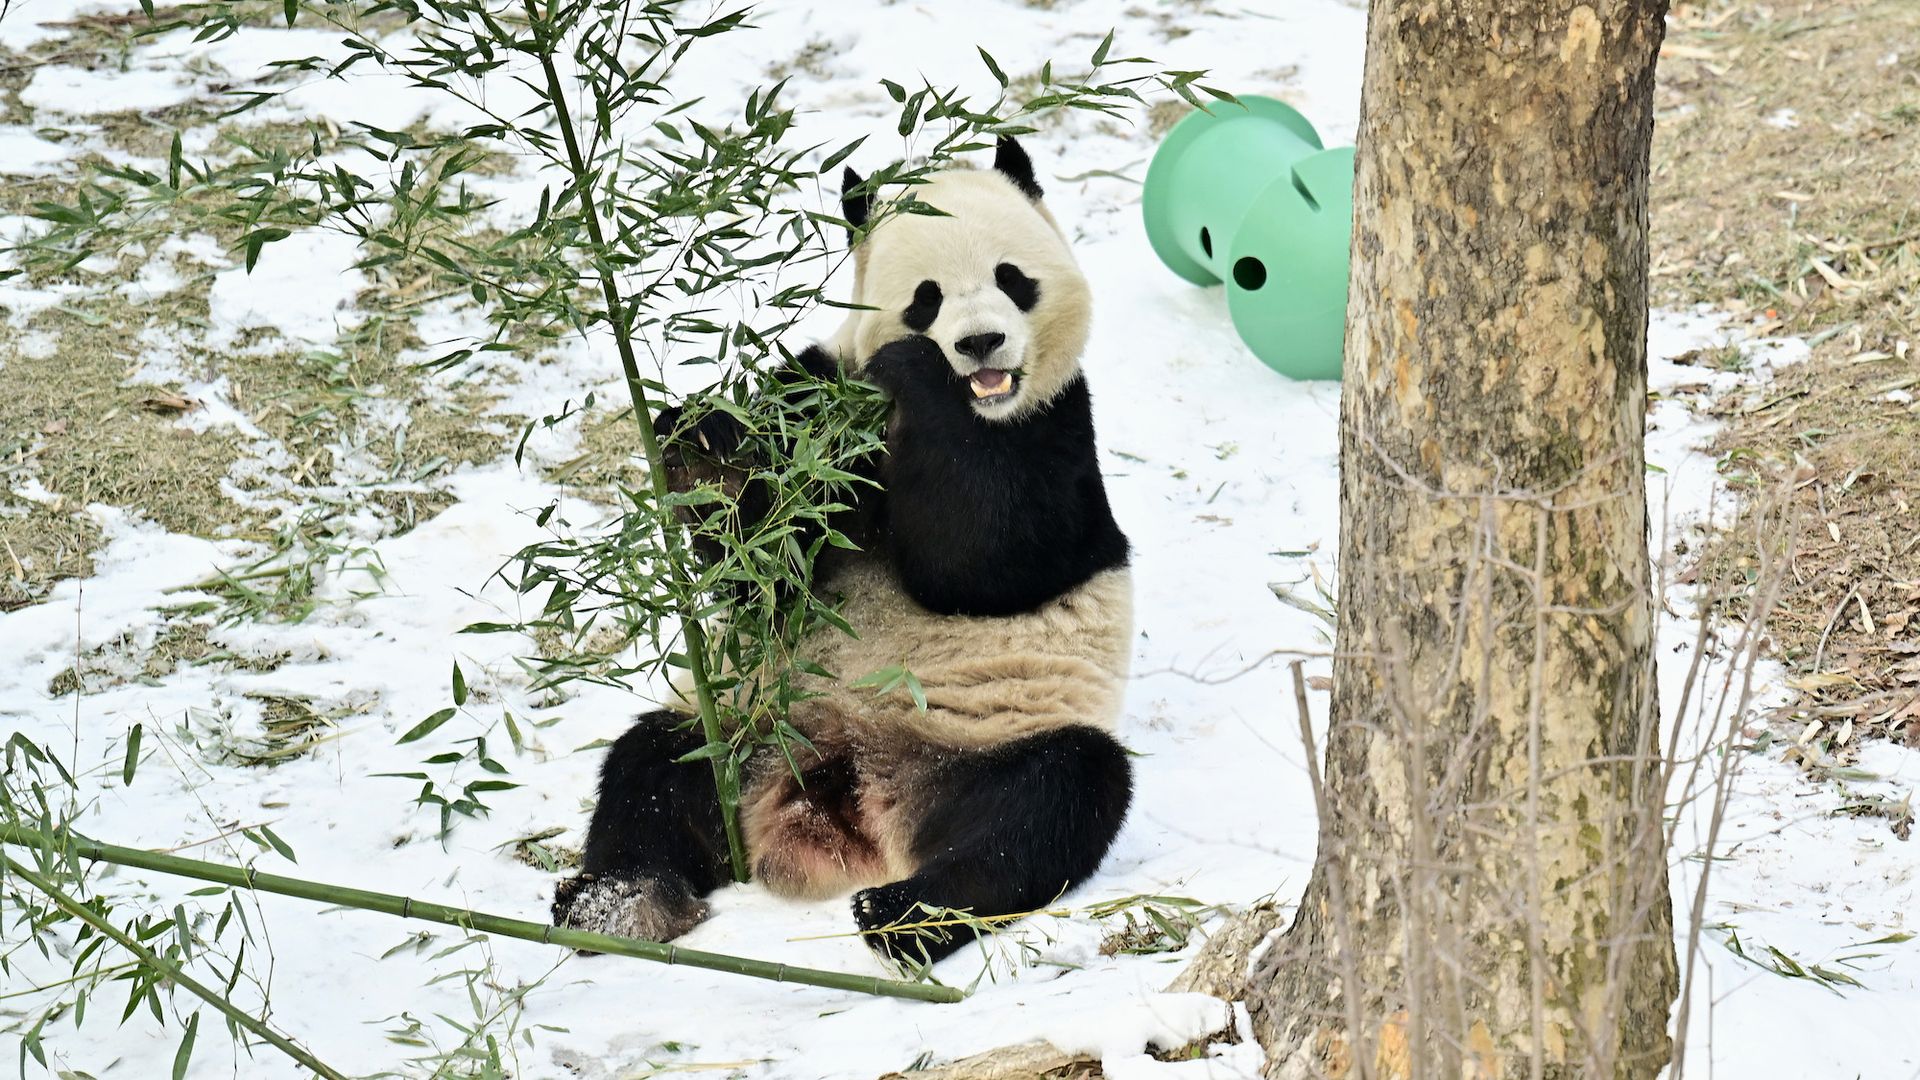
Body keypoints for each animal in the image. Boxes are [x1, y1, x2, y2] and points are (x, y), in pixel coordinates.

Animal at [551, 137, 1134, 964]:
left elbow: (992, 563)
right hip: (739, 721)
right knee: (652, 773)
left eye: (1011, 280)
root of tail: (843, 794)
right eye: (926, 298)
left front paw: (920, 379)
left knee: (1049, 805)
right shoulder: (816, 398)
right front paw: (707, 451)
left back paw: (904, 913)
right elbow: (763, 575)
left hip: (993, 737)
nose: (979, 343)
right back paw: (619, 903)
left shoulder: (1057, 428)